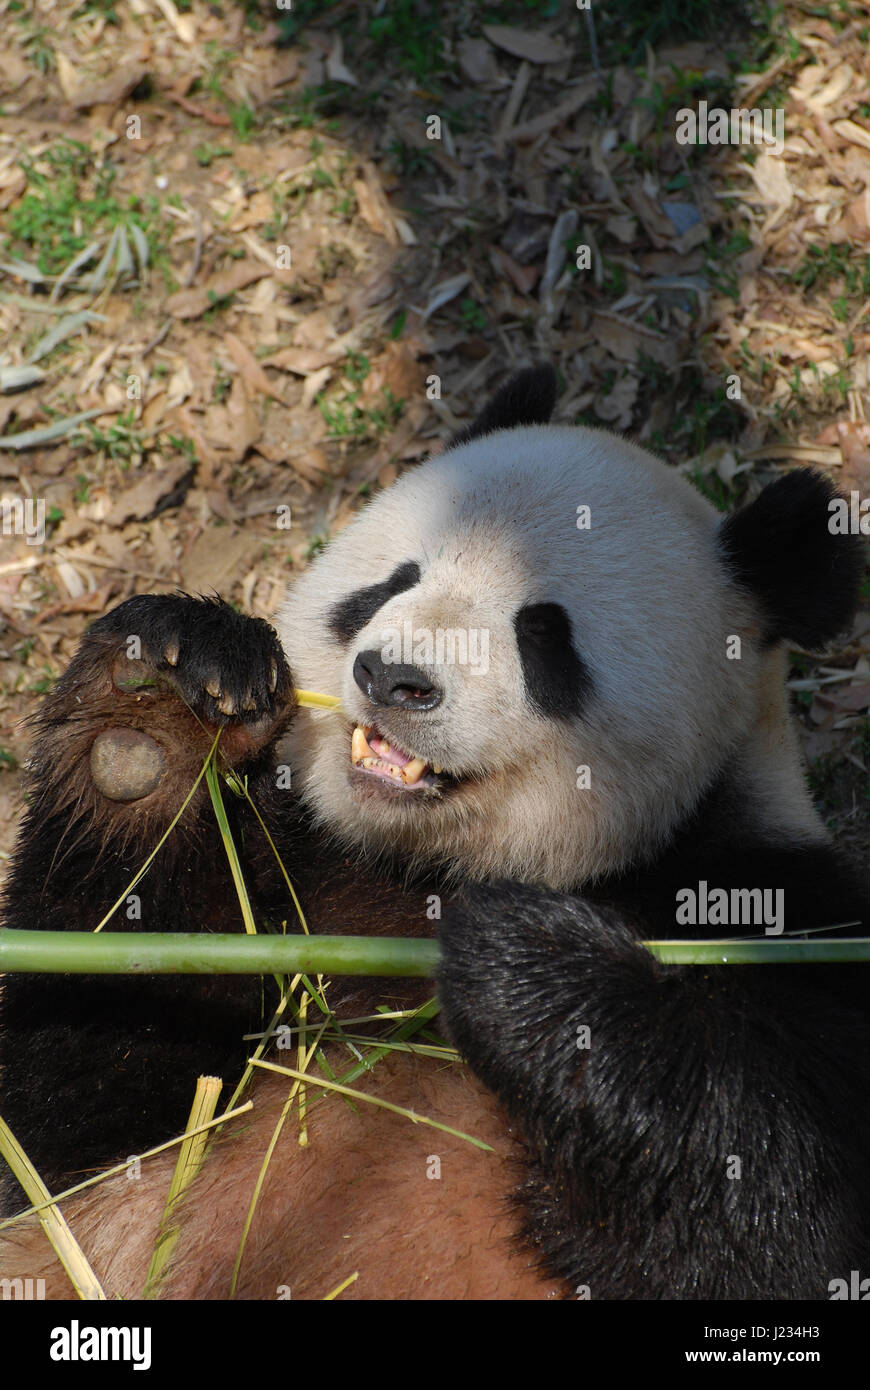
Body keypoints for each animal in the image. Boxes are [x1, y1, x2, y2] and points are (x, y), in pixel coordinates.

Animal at [0, 364, 868, 1300]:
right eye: (390, 583)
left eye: (544, 633)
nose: (395, 678)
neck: (422, 866)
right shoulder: (302, 880)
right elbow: (84, 1094)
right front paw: (162, 709)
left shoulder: (782, 915)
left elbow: (784, 1203)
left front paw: (523, 956)